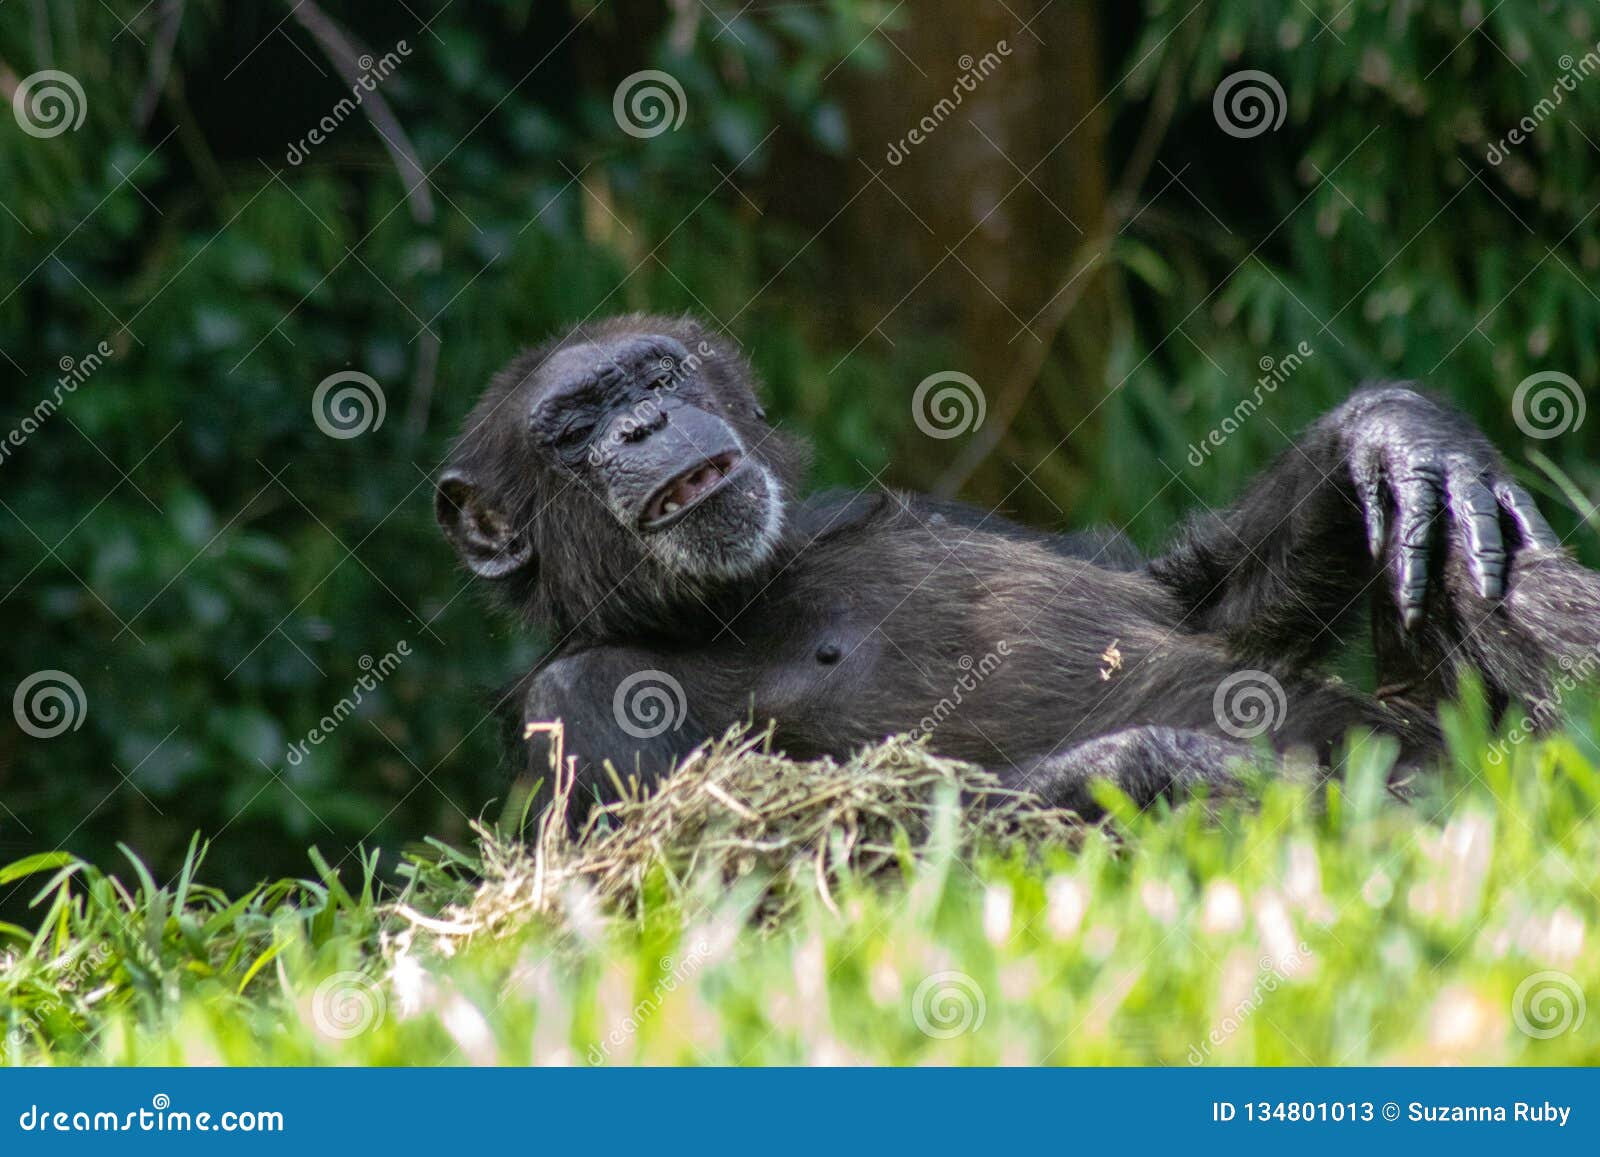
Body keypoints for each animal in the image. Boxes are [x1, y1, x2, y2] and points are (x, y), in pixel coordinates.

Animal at [436, 314, 1600, 824]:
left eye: (657, 375)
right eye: (574, 428)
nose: (640, 424)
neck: (738, 598)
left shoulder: (884, 509)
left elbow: (1184, 602)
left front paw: (1388, 434)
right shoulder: (577, 709)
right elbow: (760, 852)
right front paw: (1172, 763)